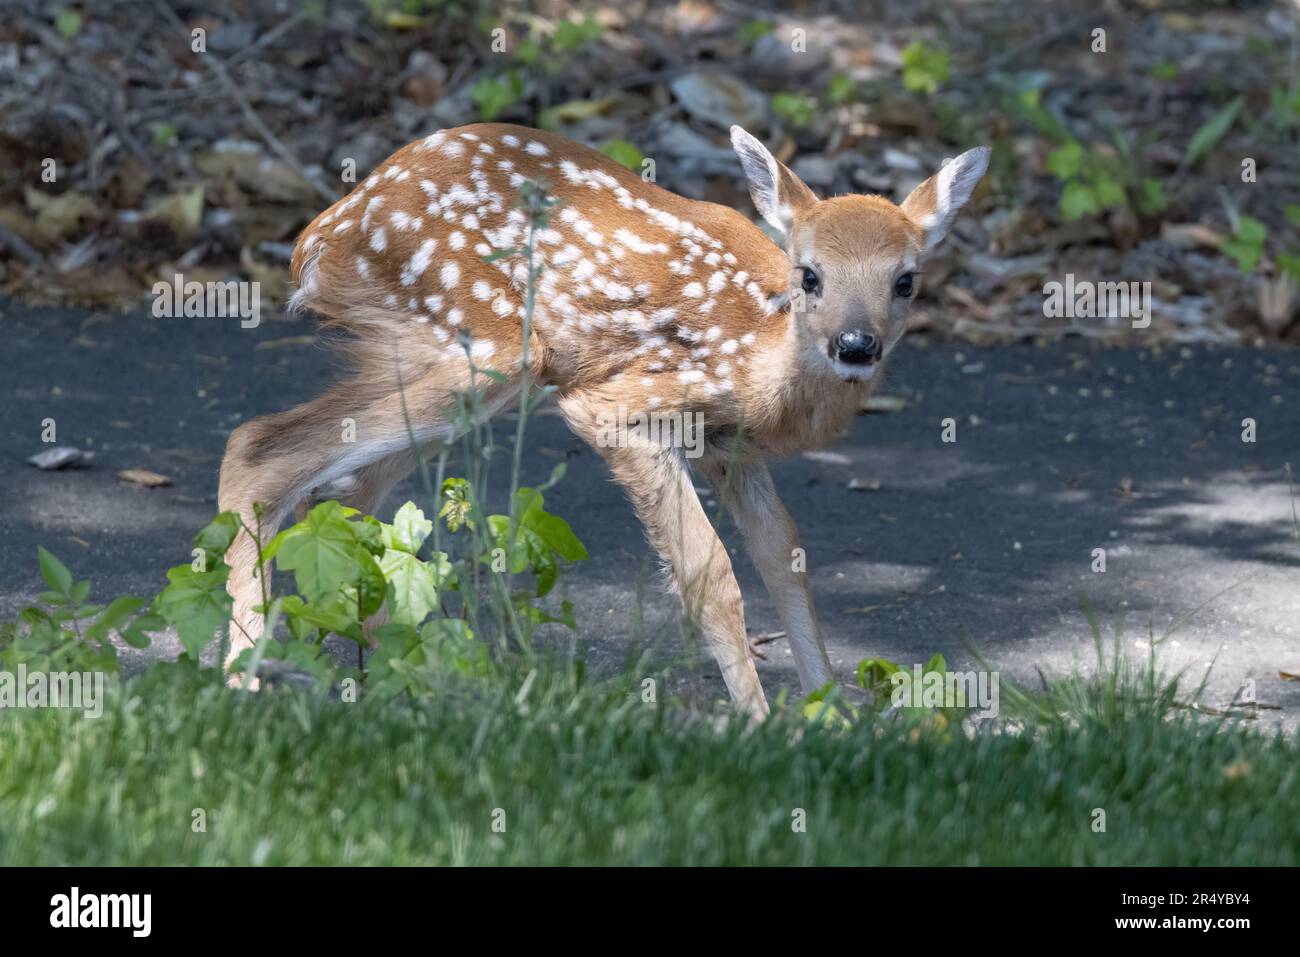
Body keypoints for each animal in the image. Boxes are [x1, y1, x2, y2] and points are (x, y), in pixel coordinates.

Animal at [217, 122, 990, 720]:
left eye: (906, 280)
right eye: (809, 275)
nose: (855, 346)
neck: (760, 362)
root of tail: (321, 236)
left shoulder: (730, 447)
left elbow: (785, 557)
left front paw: (831, 714)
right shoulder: (618, 405)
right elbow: (710, 572)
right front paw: (760, 724)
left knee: (347, 493)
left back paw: (409, 680)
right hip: (485, 347)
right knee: (260, 449)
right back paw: (241, 680)